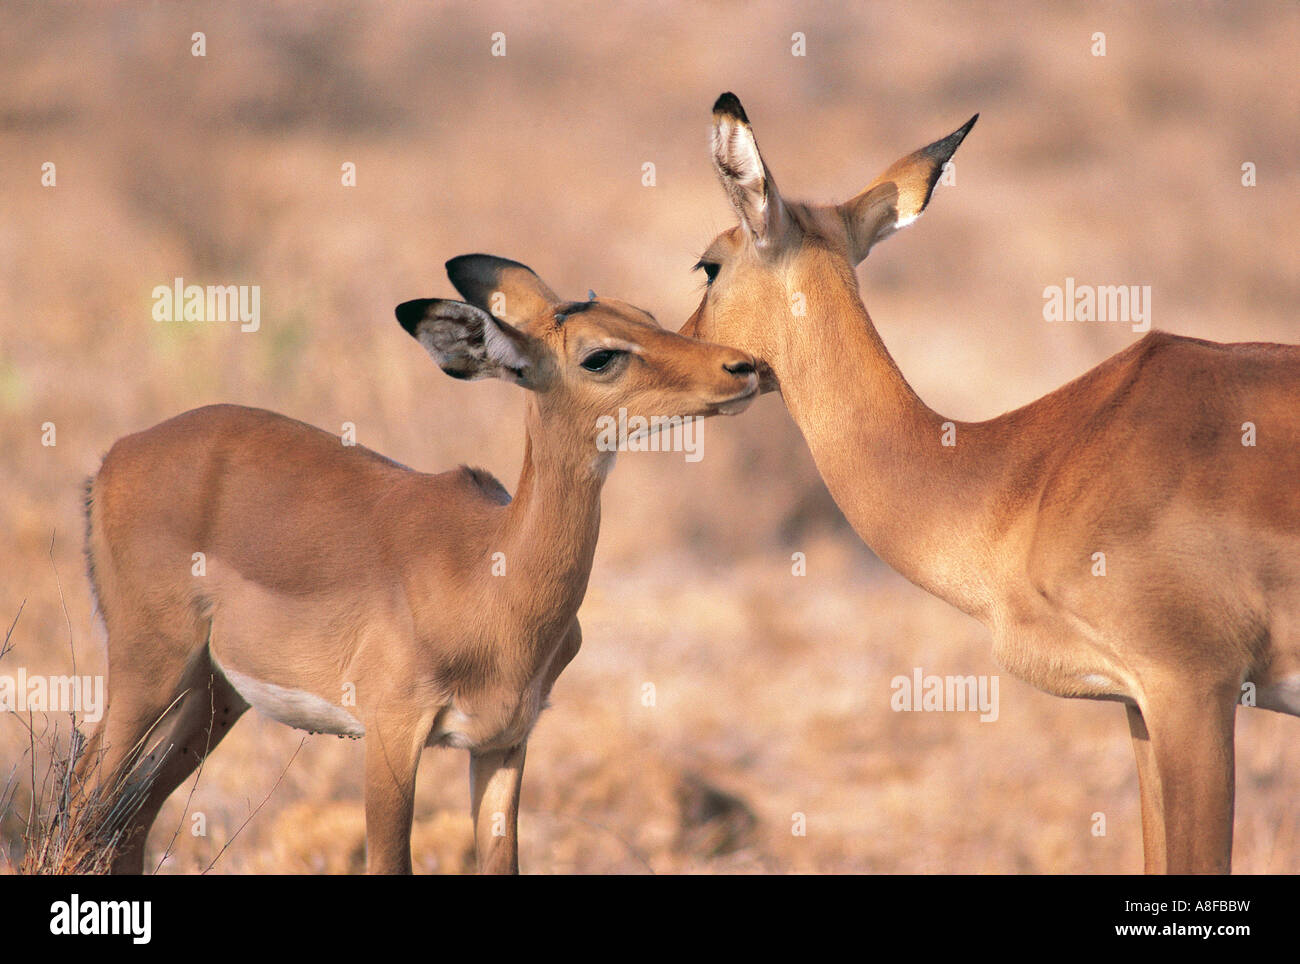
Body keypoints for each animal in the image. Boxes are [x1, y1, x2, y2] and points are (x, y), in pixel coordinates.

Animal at [78, 254, 758, 874]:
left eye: (646, 315)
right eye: (599, 355)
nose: (743, 367)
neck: (491, 575)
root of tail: (118, 454)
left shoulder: (505, 741)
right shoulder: (391, 732)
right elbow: (389, 862)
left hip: (214, 694)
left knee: (129, 815)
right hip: (151, 667)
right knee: (88, 791)